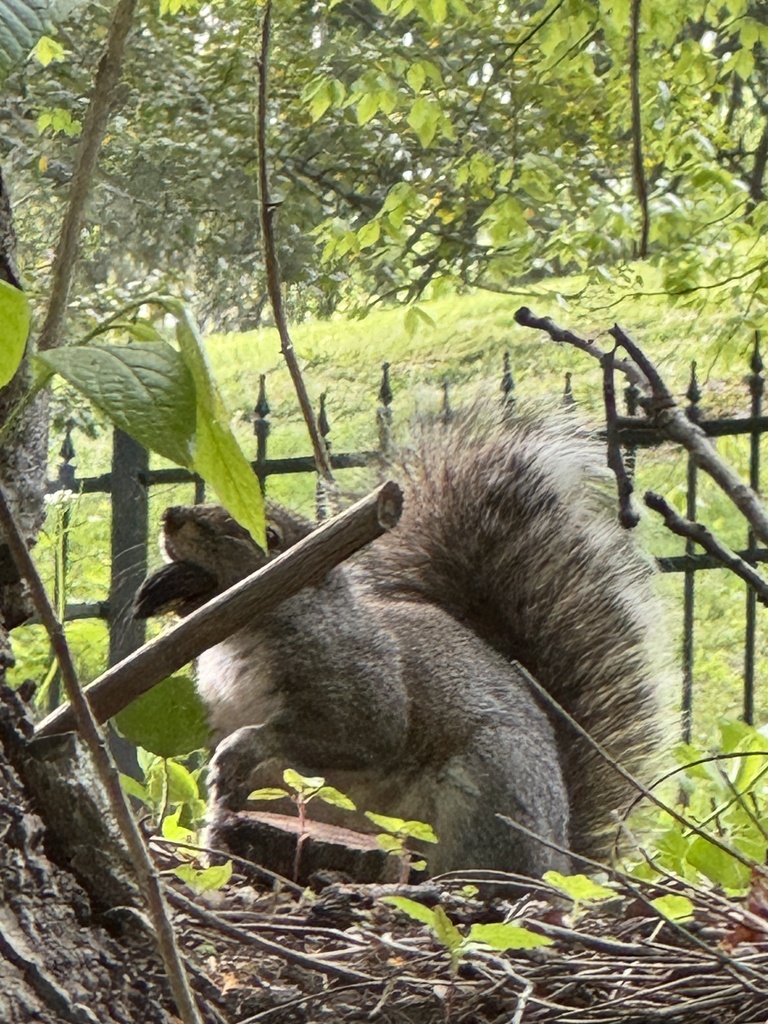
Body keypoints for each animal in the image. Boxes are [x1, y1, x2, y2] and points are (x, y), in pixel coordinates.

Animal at [134, 409, 668, 877]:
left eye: (265, 533)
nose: (171, 515)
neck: (241, 638)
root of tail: (561, 863)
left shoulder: (356, 682)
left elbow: (356, 732)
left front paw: (241, 748)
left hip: (485, 794)